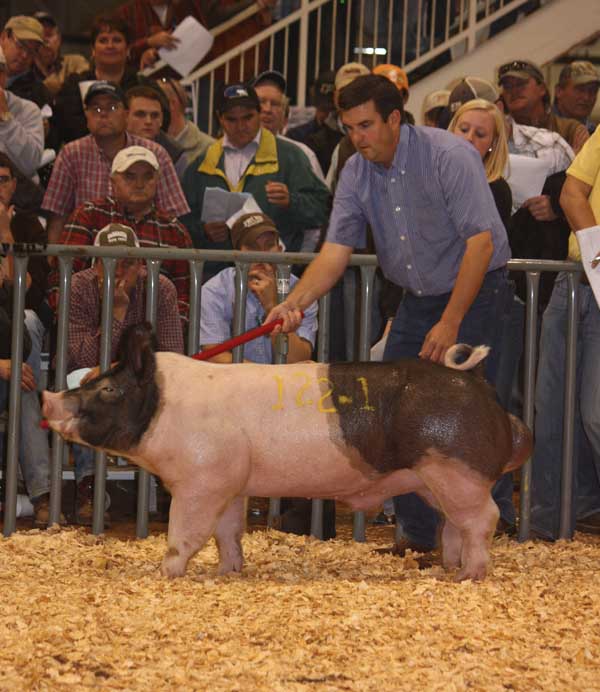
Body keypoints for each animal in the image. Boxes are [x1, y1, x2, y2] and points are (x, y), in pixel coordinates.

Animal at [42, 324, 532, 581]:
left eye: (108, 389)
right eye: (95, 379)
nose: (47, 399)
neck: (164, 407)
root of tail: (476, 383)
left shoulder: (201, 480)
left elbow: (187, 532)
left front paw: (167, 572)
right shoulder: (231, 483)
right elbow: (228, 532)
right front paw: (229, 572)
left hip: (456, 470)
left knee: (483, 519)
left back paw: (471, 576)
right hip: (436, 479)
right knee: (454, 525)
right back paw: (449, 569)